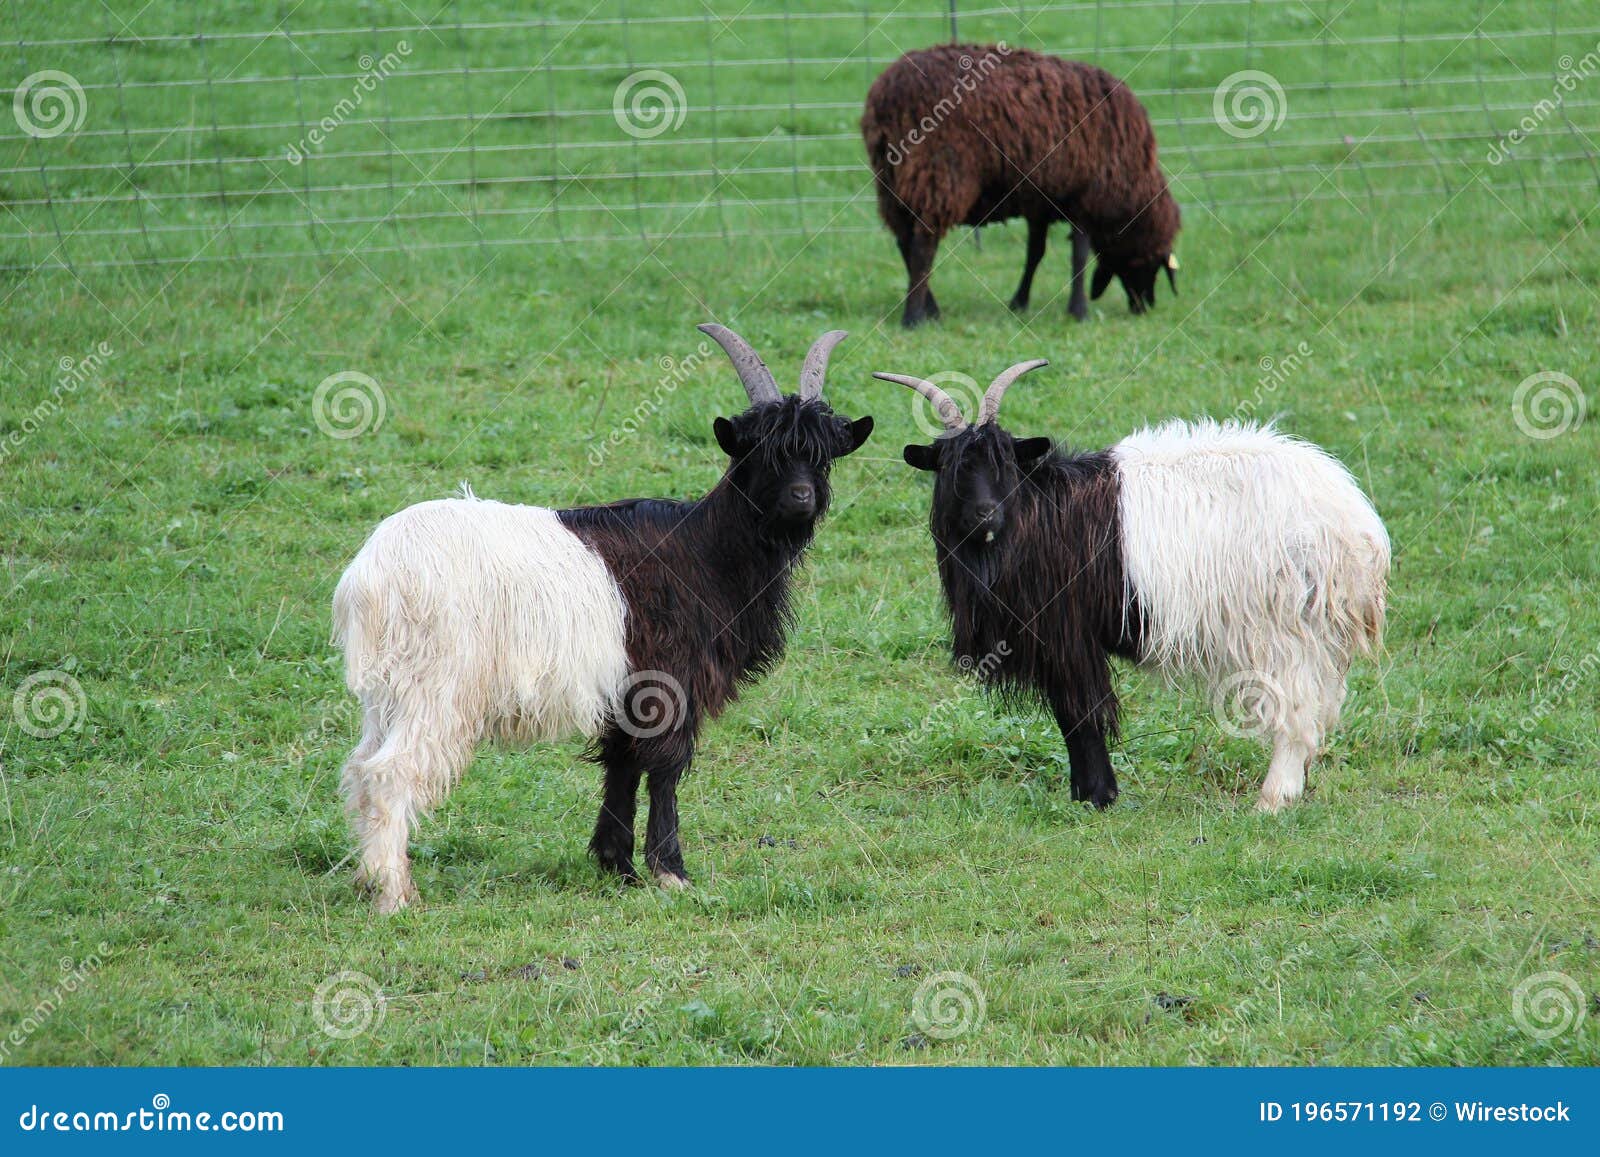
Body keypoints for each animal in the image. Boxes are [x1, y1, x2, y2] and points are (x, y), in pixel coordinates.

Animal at [333, 326, 874, 911]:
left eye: (822, 457)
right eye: (761, 453)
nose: (802, 498)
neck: (706, 548)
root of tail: (372, 574)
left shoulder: (625, 688)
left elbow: (621, 763)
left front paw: (619, 865)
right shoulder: (669, 679)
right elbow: (663, 768)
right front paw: (671, 872)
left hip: (386, 689)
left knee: (360, 766)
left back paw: (367, 878)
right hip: (438, 684)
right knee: (389, 771)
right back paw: (395, 893)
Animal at [862, 43, 1181, 327]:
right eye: (1151, 260)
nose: (1143, 307)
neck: (1131, 184)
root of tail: (888, 93)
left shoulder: (1041, 200)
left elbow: (1035, 253)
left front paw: (1019, 303)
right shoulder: (1083, 195)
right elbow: (1078, 256)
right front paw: (1079, 311)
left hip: (891, 179)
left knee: (904, 240)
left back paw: (932, 310)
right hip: (938, 173)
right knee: (922, 247)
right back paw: (914, 318)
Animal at [883, 361, 1388, 812]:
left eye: (1006, 460)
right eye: (951, 467)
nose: (985, 515)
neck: (1035, 516)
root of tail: (1357, 527)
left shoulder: (1067, 635)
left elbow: (1079, 713)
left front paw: (1096, 796)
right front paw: (1088, 793)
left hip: (1281, 627)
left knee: (1295, 709)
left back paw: (1273, 799)